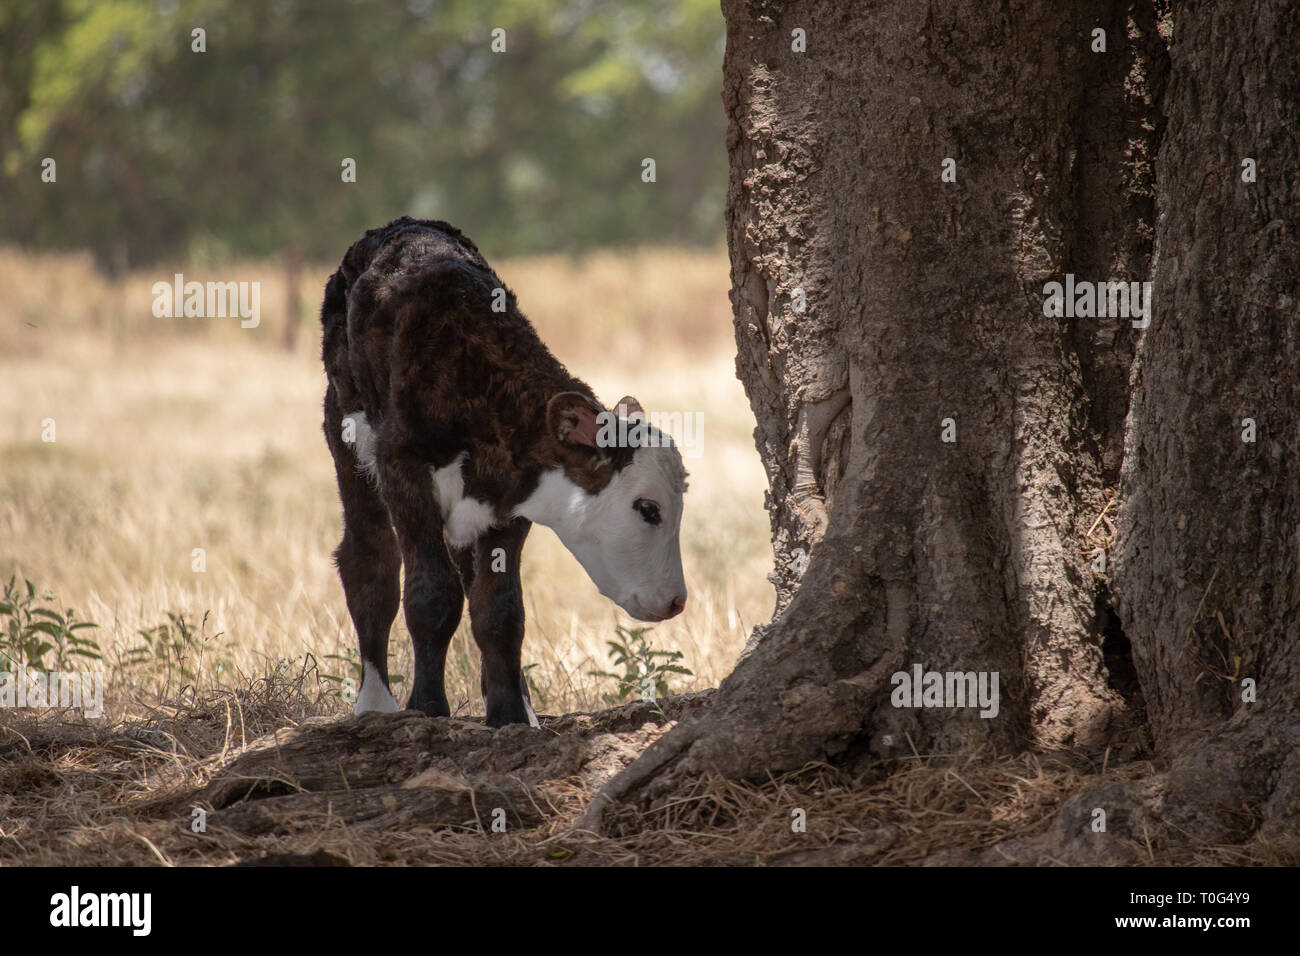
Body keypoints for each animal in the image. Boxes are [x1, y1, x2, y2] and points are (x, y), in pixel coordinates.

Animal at [320, 217, 688, 728]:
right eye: (648, 508)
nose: (676, 601)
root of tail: (404, 225)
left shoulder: (509, 503)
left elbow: (499, 610)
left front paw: (511, 713)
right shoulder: (402, 469)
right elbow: (431, 595)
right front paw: (427, 707)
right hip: (344, 431)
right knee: (369, 561)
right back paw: (375, 701)